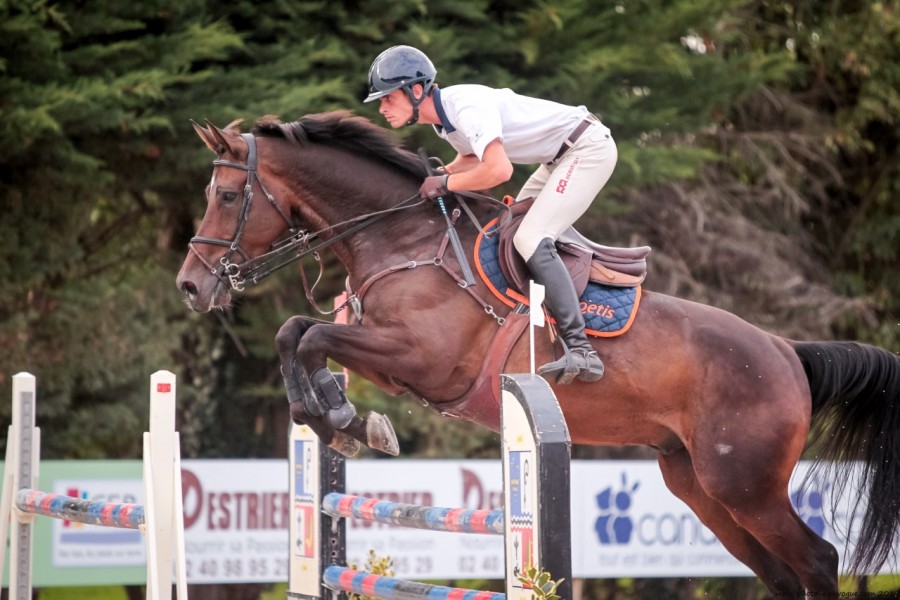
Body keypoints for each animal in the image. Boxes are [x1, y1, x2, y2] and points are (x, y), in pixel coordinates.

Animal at [176, 110, 900, 597]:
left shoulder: (420, 358)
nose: (190, 286)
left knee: (817, 561)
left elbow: (312, 337)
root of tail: (787, 353)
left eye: (228, 196)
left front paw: (349, 424)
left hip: (744, 483)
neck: (398, 237)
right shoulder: (384, 352)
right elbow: (295, 333)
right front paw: (340, 419)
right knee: (781, 572)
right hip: (699, 485)